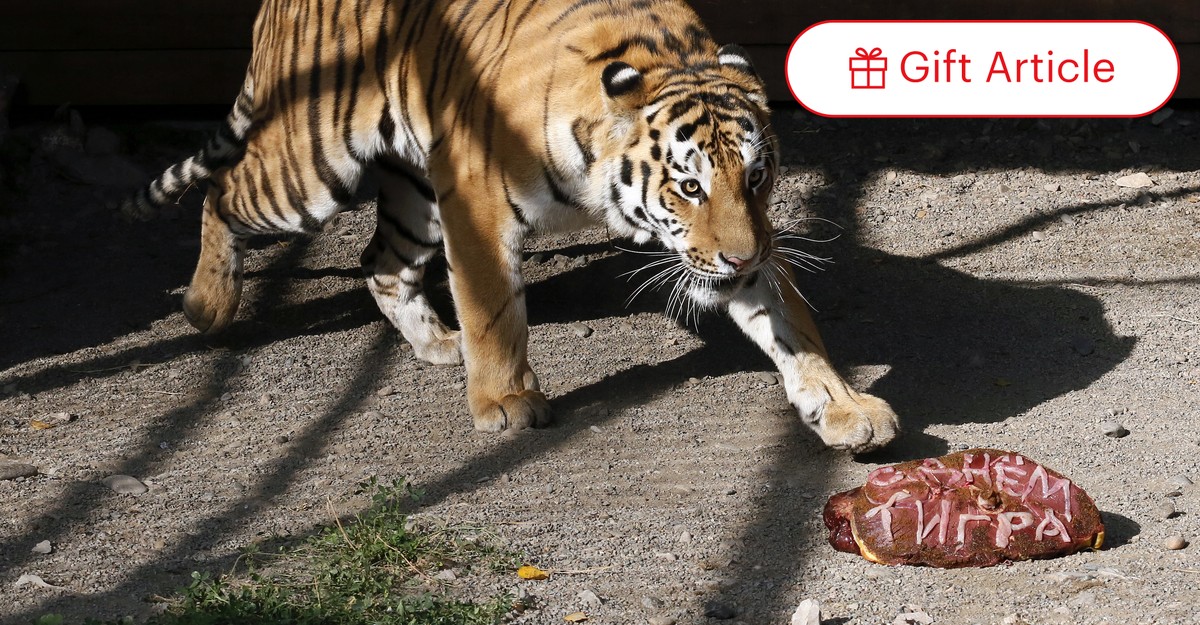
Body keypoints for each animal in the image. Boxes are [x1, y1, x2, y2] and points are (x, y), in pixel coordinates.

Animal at [123, 0, 899, 452]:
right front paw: (504, 403)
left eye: (758, 177)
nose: (740, 263)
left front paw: (844, 406)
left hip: (412, 187)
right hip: (311, 167)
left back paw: (439, 344)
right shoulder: (474, 201)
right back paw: (206, 303)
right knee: (221, 189)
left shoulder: (745, 243)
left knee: (379, 260)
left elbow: (793, 329)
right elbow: (496, 309)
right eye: (688, 186)